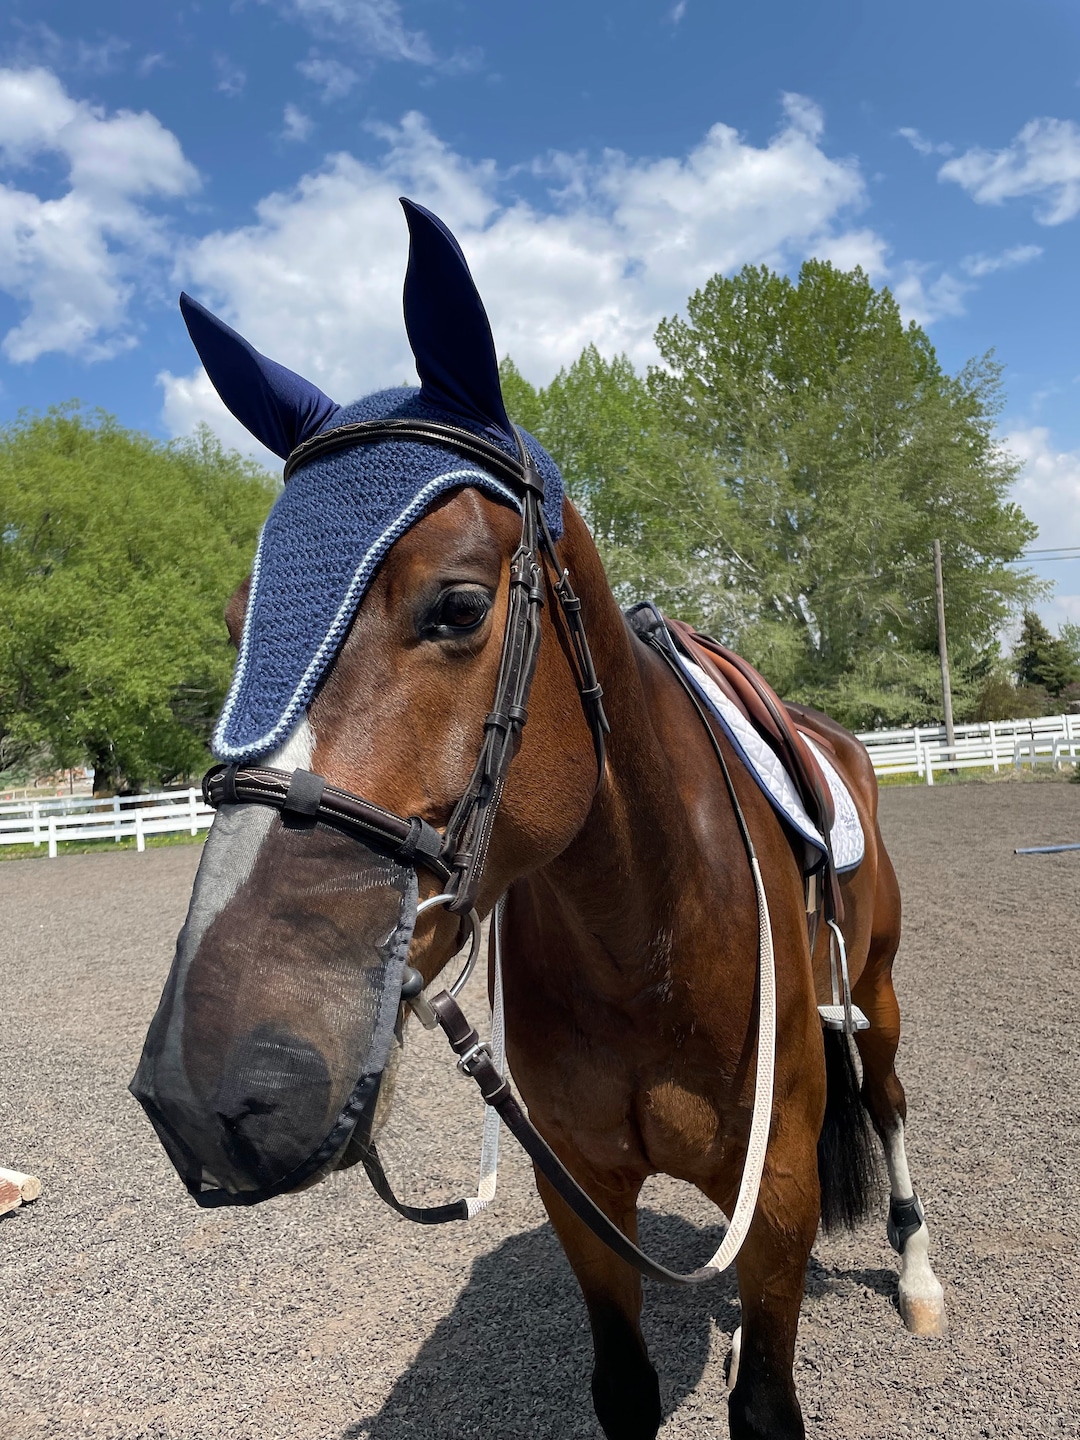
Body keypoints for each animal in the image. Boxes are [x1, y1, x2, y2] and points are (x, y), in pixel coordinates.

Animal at [130, 199, 946, 1440]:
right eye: (237, 625)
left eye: (460, 605)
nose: (207, 1084)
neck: (645, 937)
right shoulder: (585, 1204)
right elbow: (624, 1390)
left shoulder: (781, 1191)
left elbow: (765, 1401)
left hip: (880, 998)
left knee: (891, 1105)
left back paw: (919, 1274)